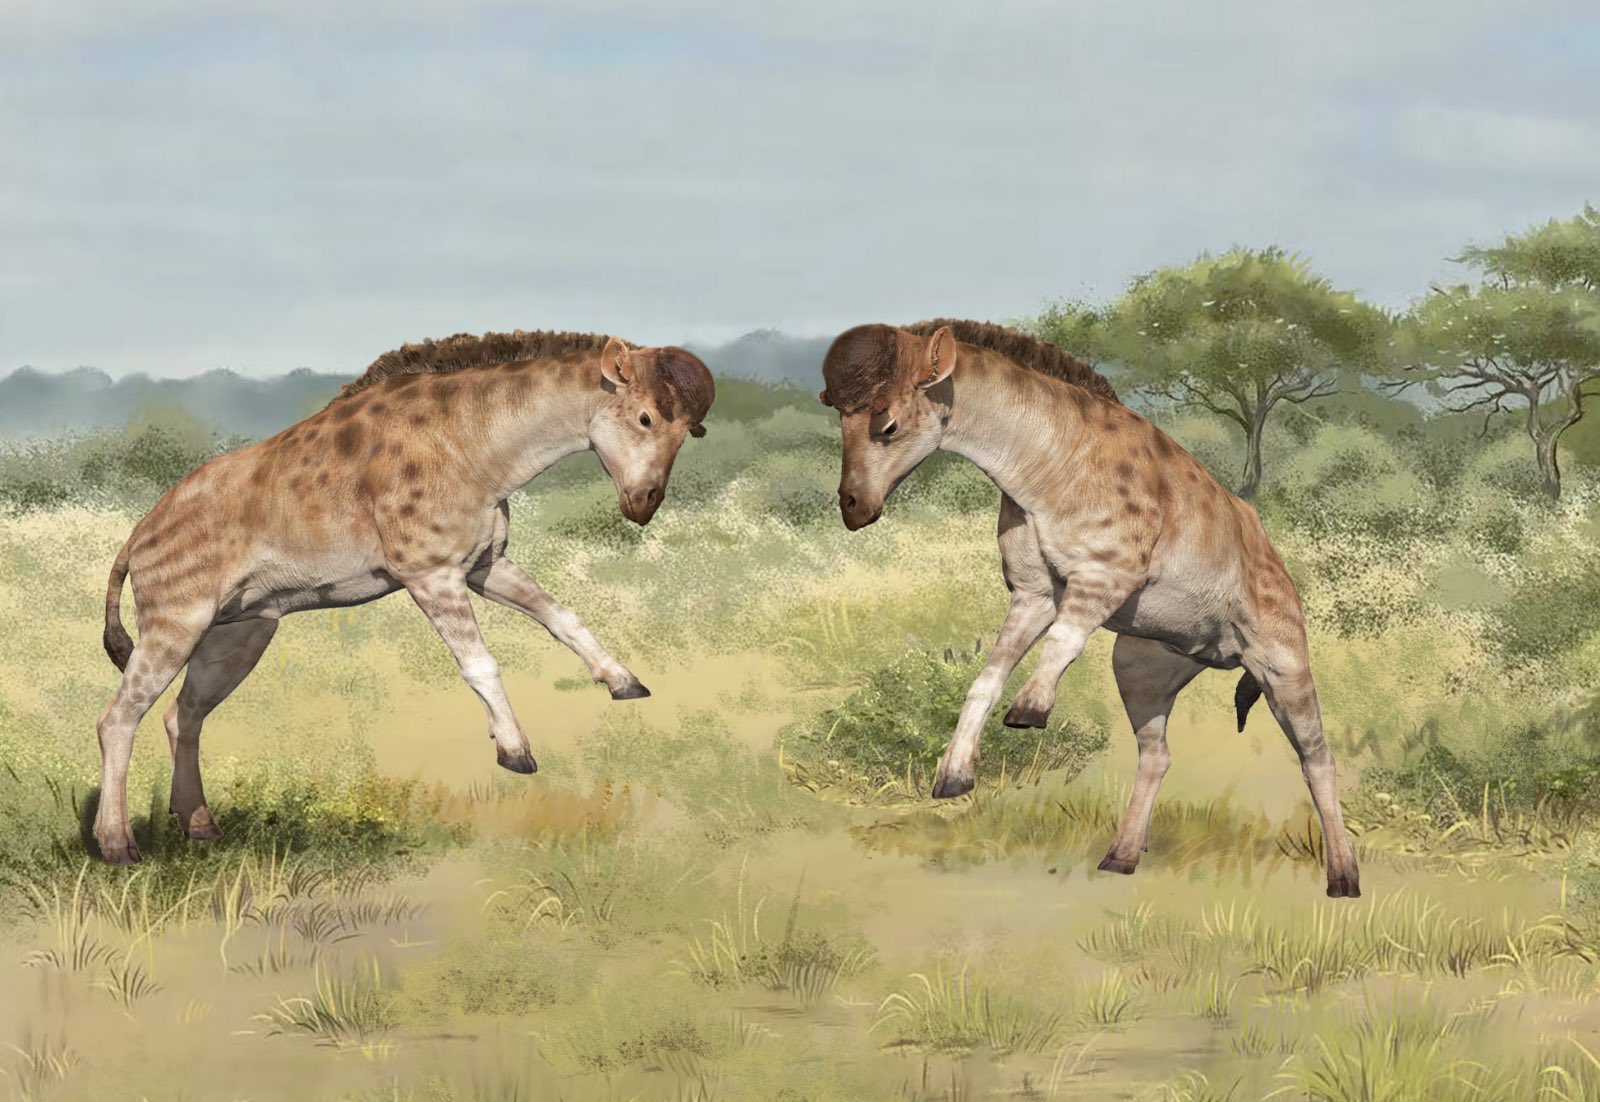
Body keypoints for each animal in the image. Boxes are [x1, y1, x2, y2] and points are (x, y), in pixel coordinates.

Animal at [95, 330, 714, 865]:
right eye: (645, 417)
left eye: (689, 431)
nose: (644, 504)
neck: (472, 443)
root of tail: (136, 538)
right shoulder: (430, 576)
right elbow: (480, 663)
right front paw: (514, 751)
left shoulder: (483, 566)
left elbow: (562, 616)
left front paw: (625, 683)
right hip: (175, 626)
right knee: (117, 718)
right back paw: (118, 846)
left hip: (238, 635)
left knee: (182, 715)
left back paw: (200, 825)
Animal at [818, 319, 1360, 898]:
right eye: (839, 419)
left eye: (888, 424)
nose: (852, 507)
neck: (1049, 465)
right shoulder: (1034, 593)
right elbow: (986, 678)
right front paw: (953, 776)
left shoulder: (1105, 576)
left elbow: (1063, 641)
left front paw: (1029, 711)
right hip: (1139, 672)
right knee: (1157, 754)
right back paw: (1120, 856)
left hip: (1284, 669)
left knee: (1317, 758)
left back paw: (1344, 879)